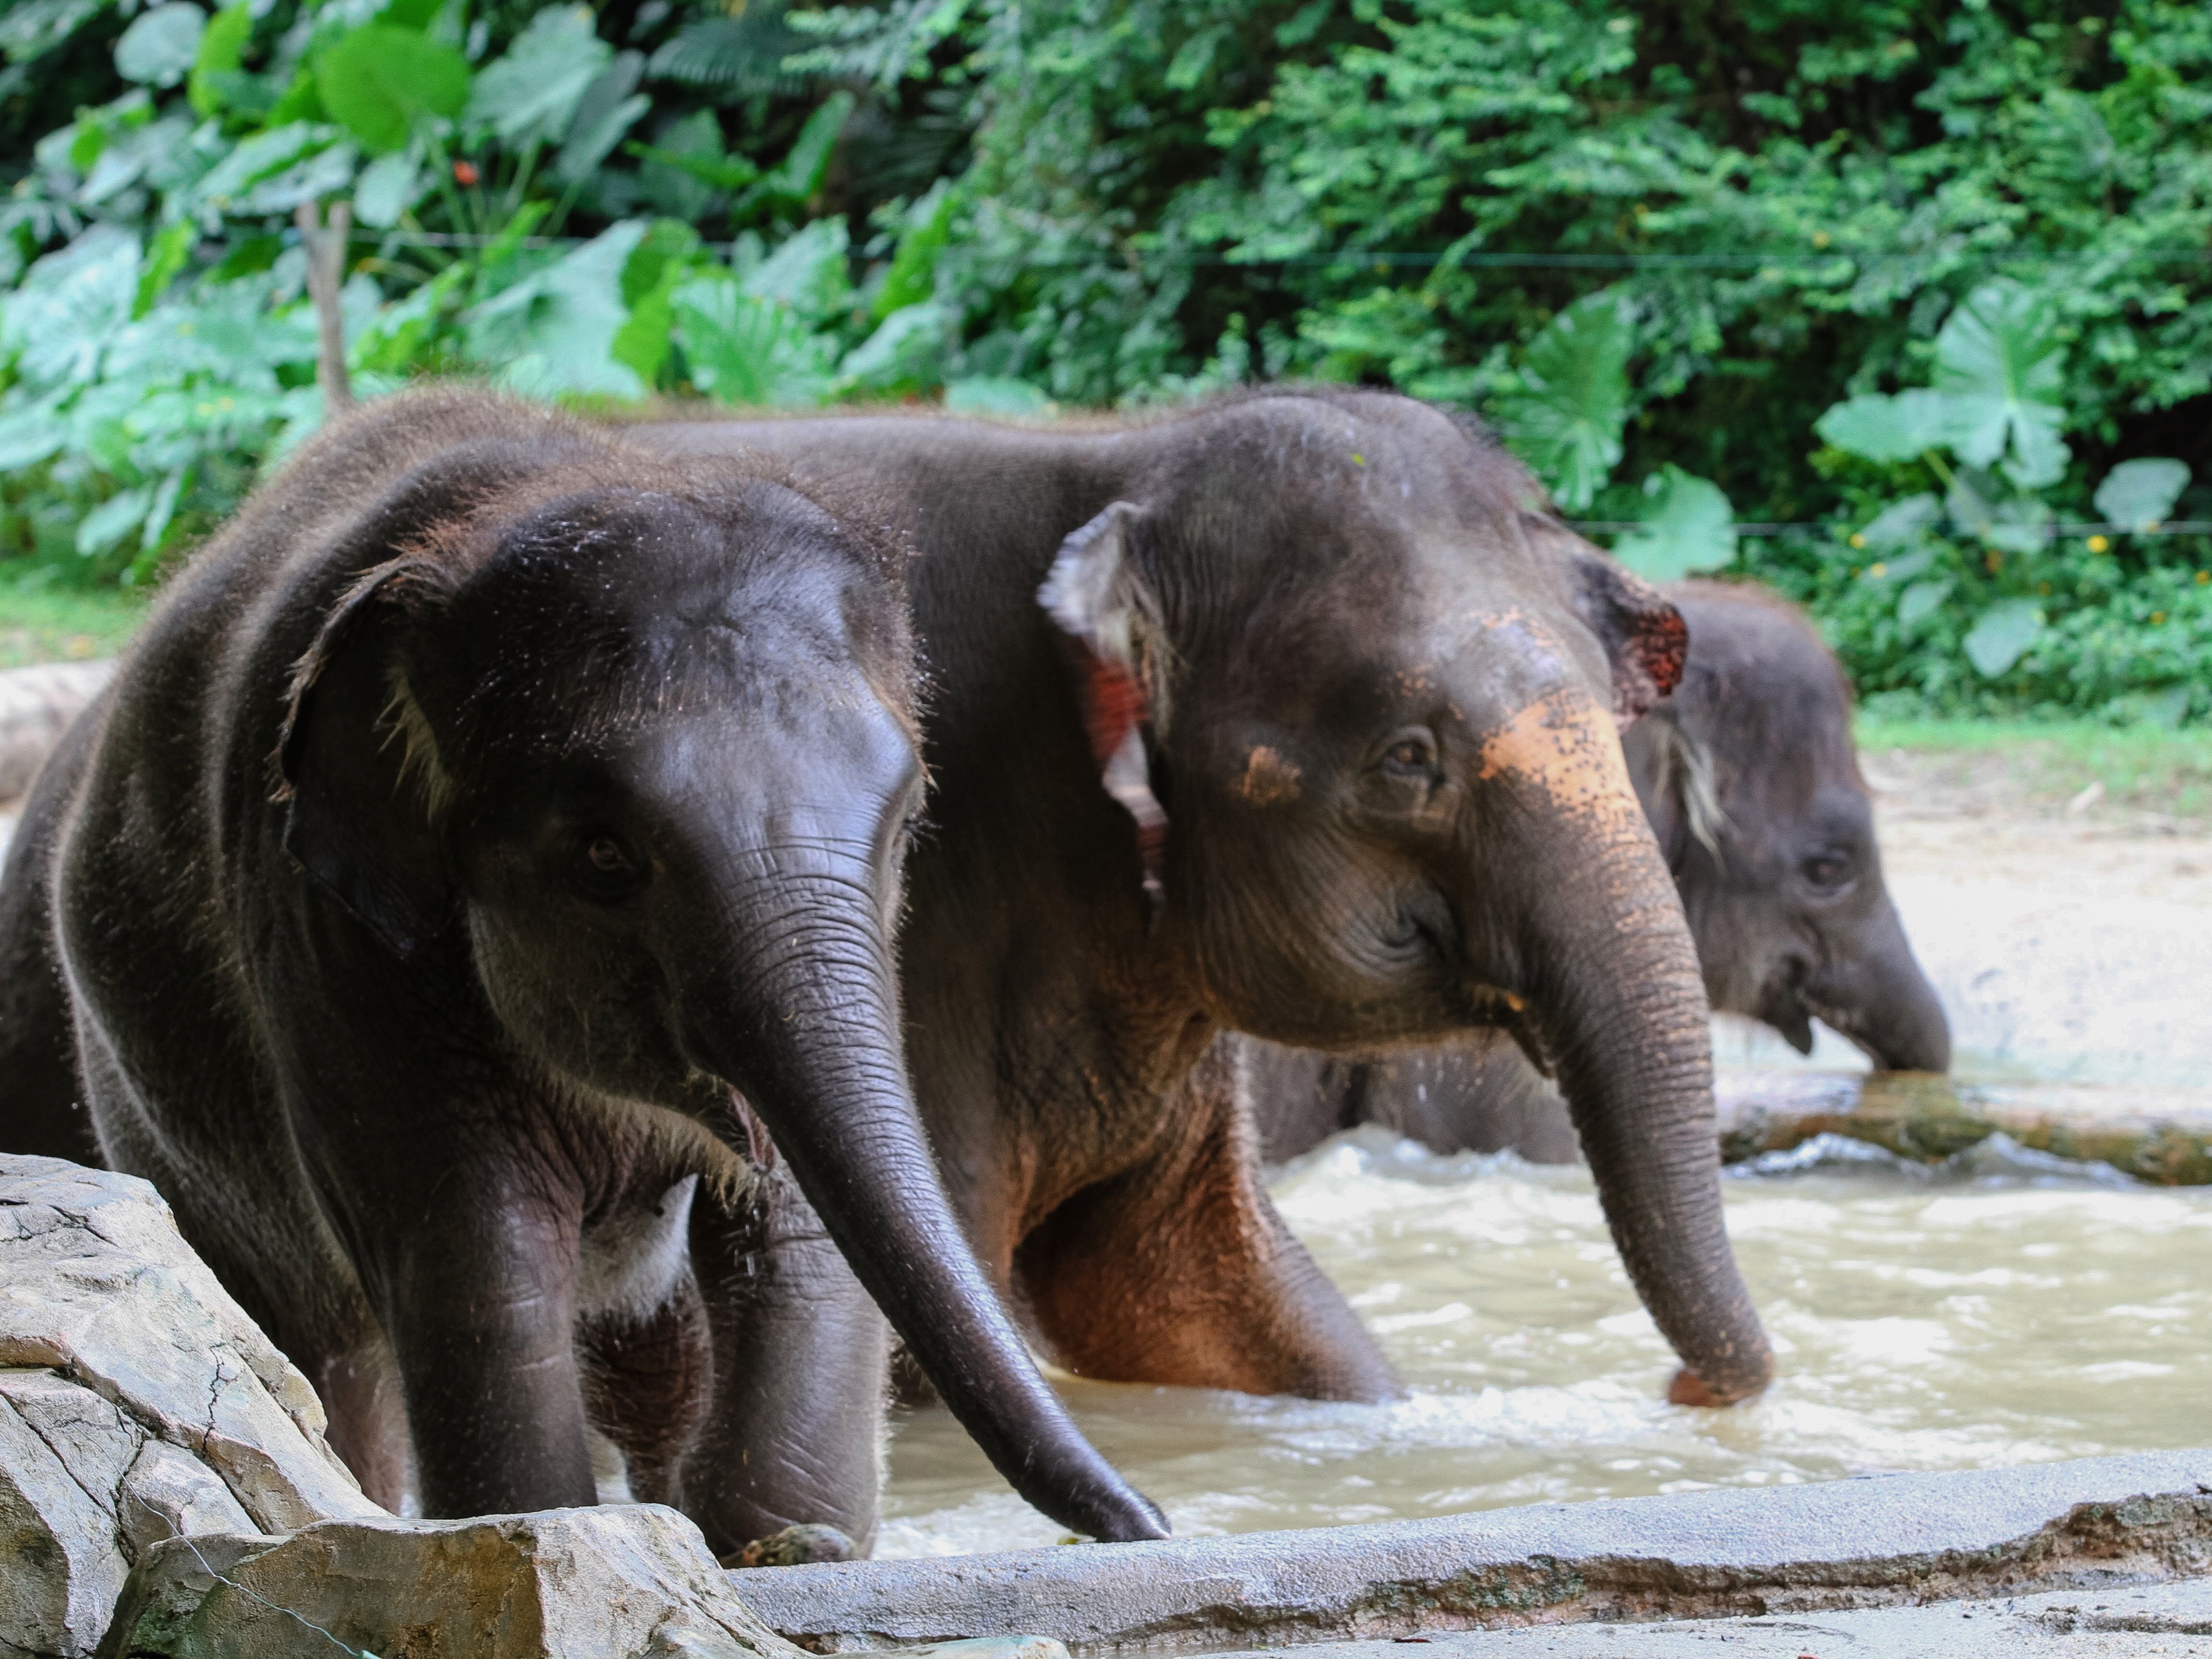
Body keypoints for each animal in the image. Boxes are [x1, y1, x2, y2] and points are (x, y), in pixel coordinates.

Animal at [0, 389, 1161, 1555]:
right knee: (314, 1351)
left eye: (908, 824)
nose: (1148, 1519)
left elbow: (797, 1240)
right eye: (605, 857)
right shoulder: (329, 940)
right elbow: (479, 1261)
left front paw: (783, 1544)